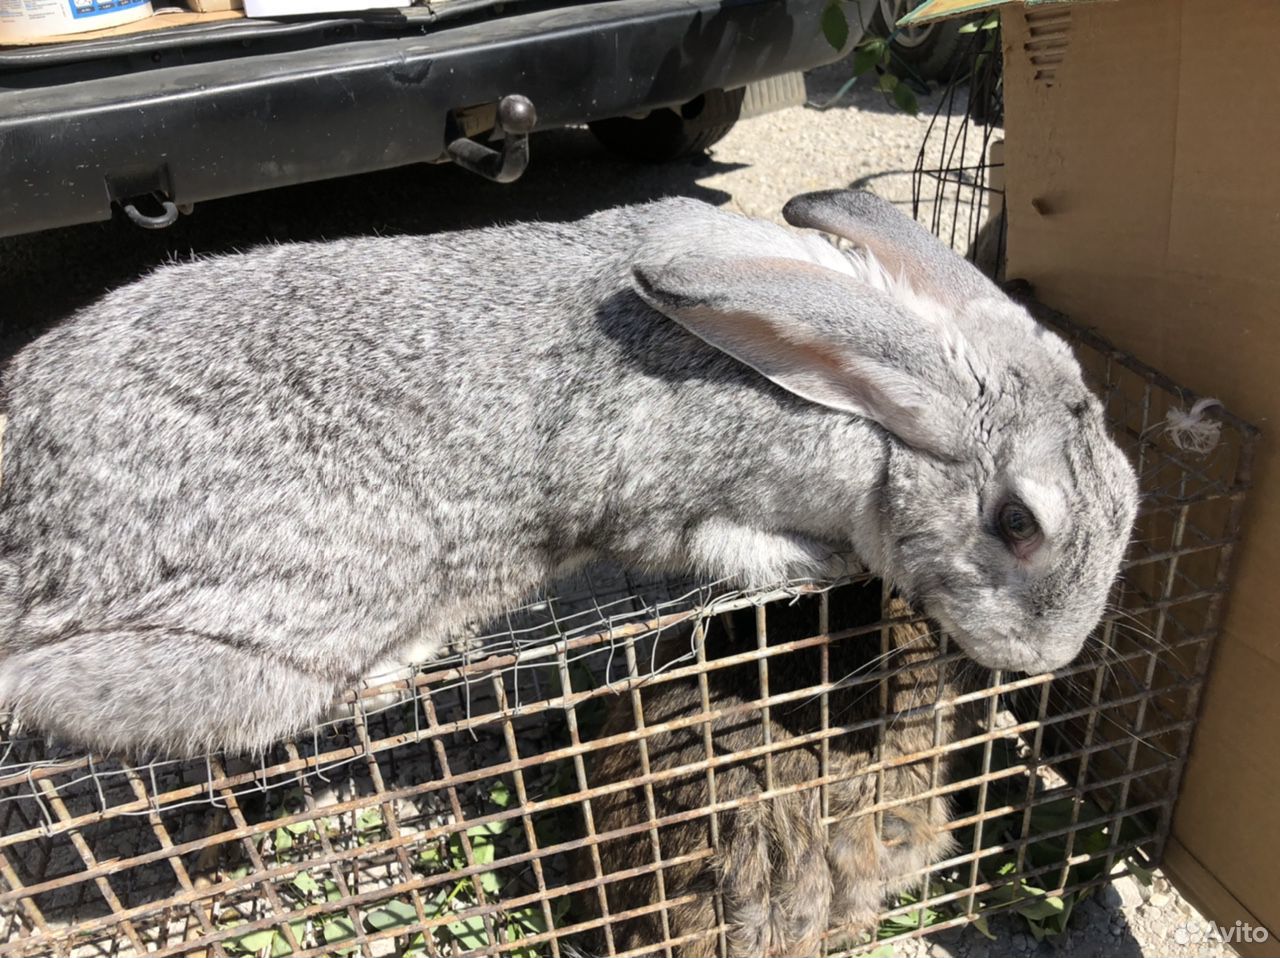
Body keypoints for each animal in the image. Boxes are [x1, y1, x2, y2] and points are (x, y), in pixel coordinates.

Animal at [0, 189, 1138, 756]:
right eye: (1016, 522)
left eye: (1128, 498)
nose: (1045, 661)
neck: (863, 409)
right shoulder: (668, 497)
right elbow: (714, 544)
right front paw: (817, 565)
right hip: (294, 614)